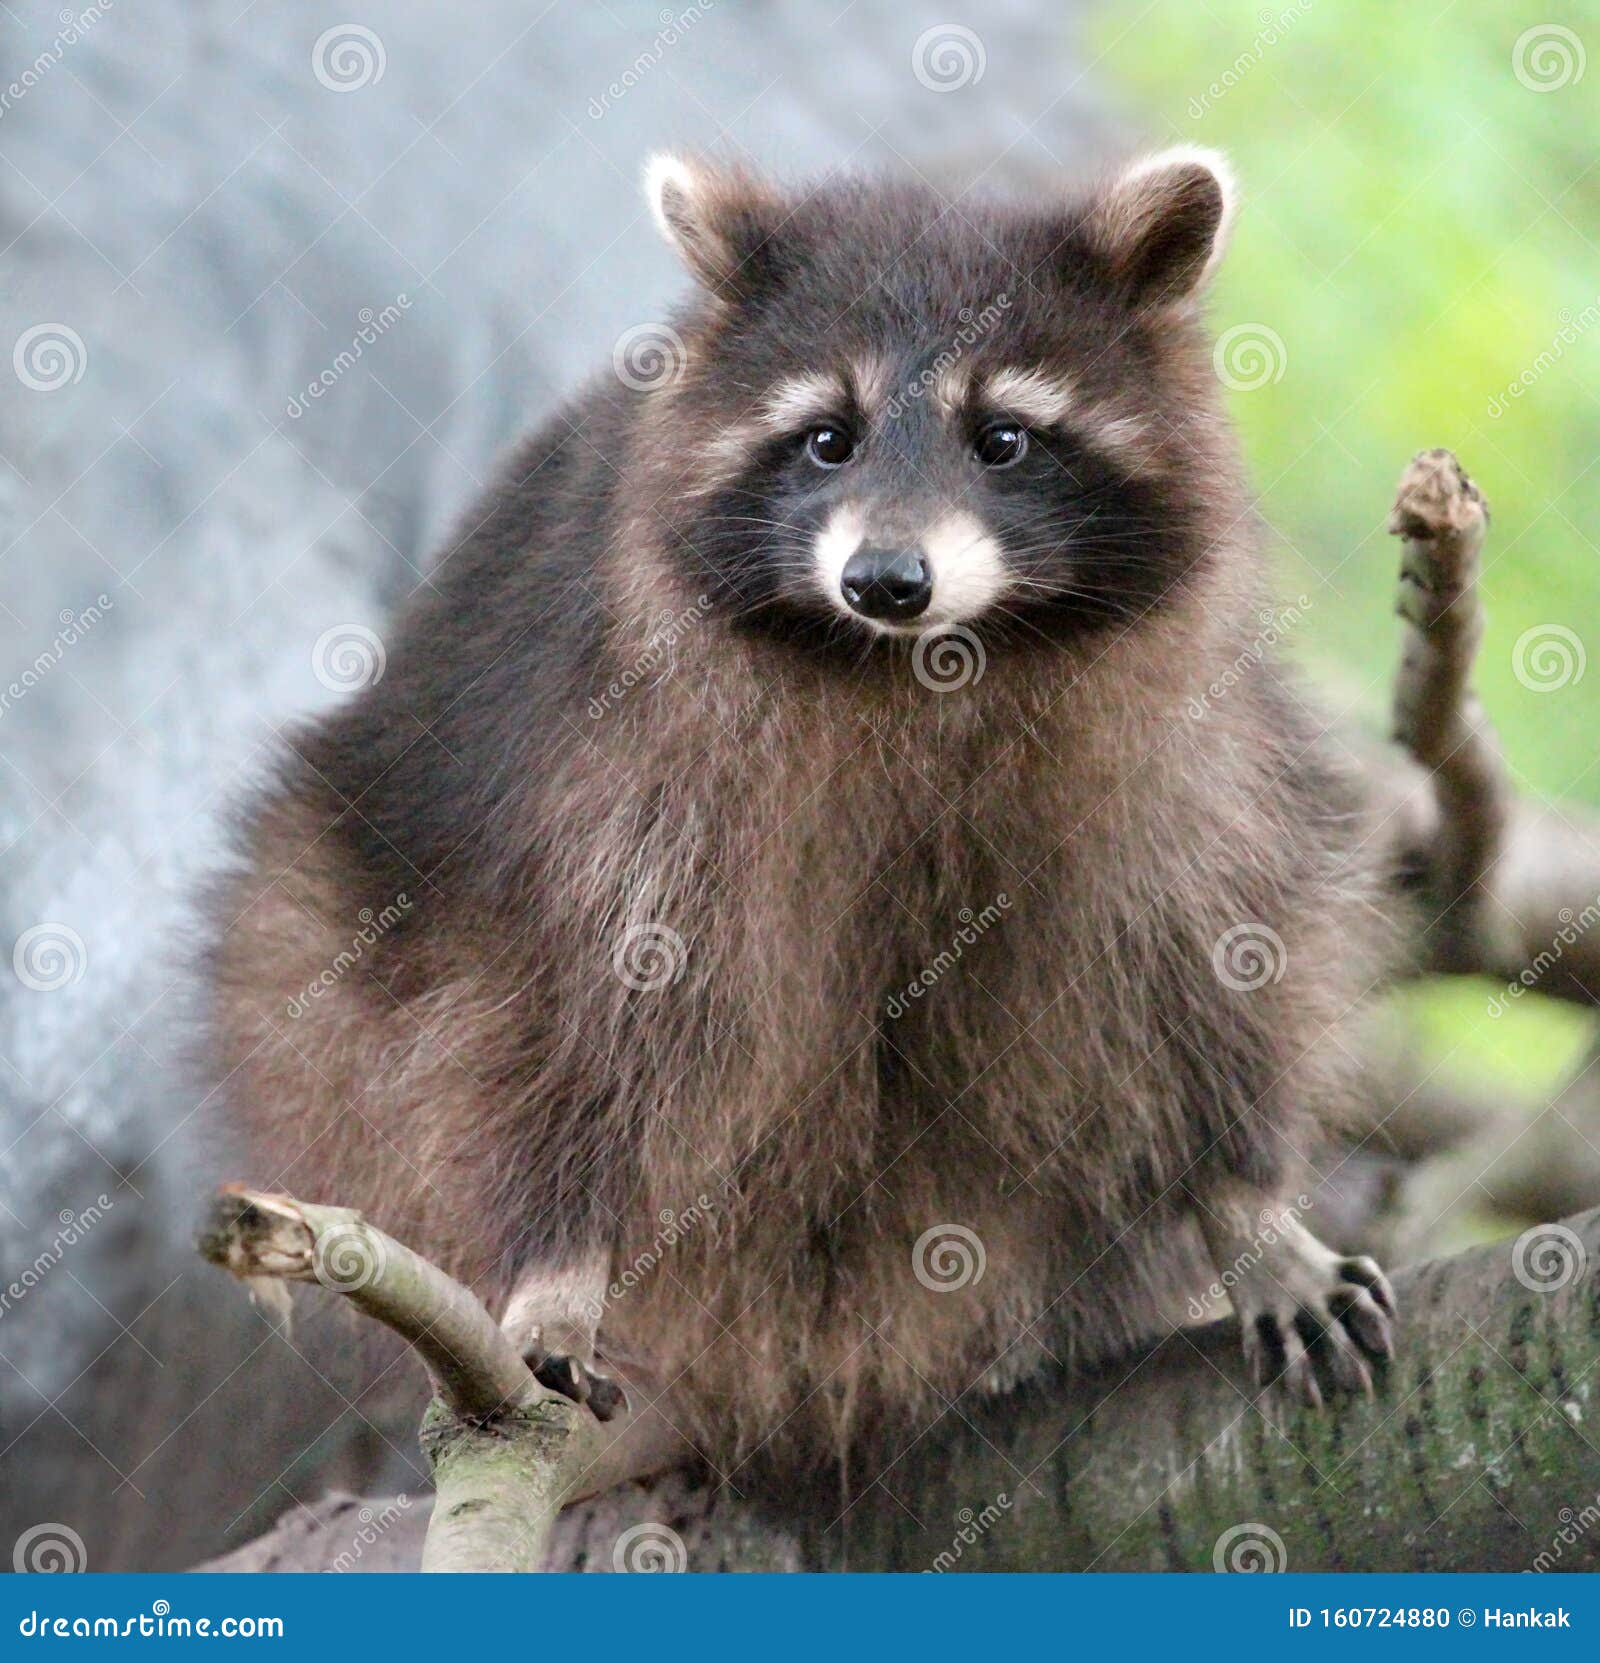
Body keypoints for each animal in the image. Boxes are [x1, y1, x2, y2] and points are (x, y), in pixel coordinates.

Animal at [207, 147, 1395, 1489]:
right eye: (829, 438)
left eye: (1002, 440)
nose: (885, 580)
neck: (920, 660)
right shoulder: (619, 771)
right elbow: (581, 1011)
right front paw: (558, 1267)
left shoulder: (1171, 750)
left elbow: (1188, 957)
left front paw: (1247, 1212)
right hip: (324, 954)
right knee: (314, 954)